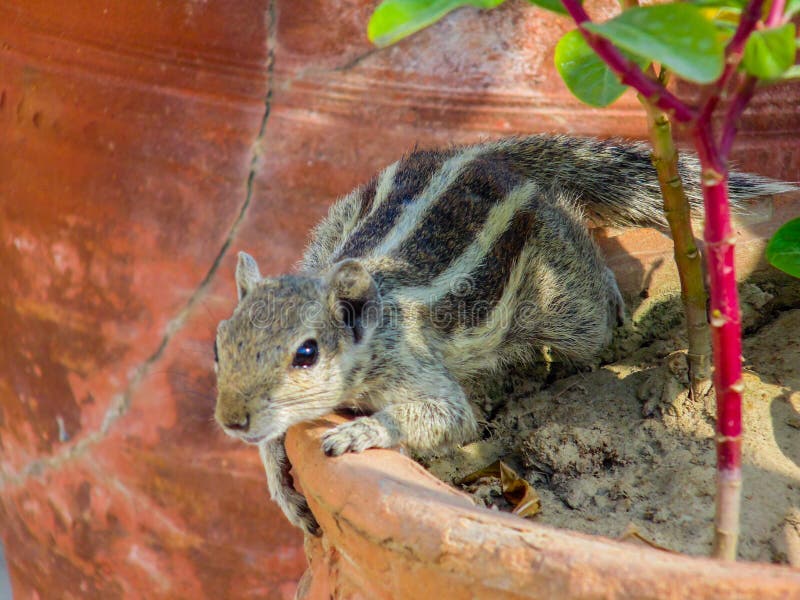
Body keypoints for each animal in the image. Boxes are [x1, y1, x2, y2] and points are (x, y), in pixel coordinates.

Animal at [212, 135, 793, 534]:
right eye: (219, 348)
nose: (231, 420)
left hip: (565, 299)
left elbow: (449, 417)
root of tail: (486, 155)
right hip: (334, 224)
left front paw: (364, 432)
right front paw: (278, 479)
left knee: (579, 250)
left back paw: (609, 292)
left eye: (306, 354)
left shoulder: (415, 365)